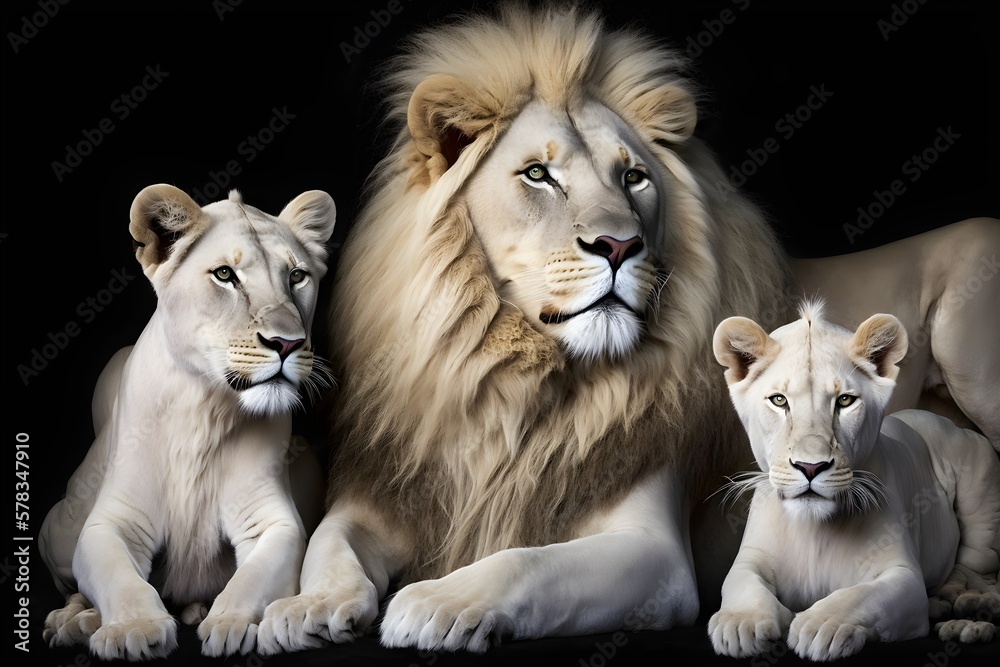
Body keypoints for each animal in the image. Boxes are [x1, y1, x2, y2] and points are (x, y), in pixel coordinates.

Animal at [38, 184, 336, 660]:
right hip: (60, 529)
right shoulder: (111, 522)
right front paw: (134, 629)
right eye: (225, 275)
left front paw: (230, 623)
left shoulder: (276, 523)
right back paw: (72, 622)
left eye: (296, 276)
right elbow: (120, 579)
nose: (287, 343)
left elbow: (251, 578)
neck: (205, 407)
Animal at [709, 302, 1000, 661]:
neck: (815, 532)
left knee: (978, 567)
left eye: (845, 401)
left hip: (980, 473)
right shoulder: (750, 558)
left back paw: (964, 602)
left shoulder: (902, 575)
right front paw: (740, 623)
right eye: (779, 400)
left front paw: (820, 626)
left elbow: (858, 597)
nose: (810, 467)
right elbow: (738, 583)